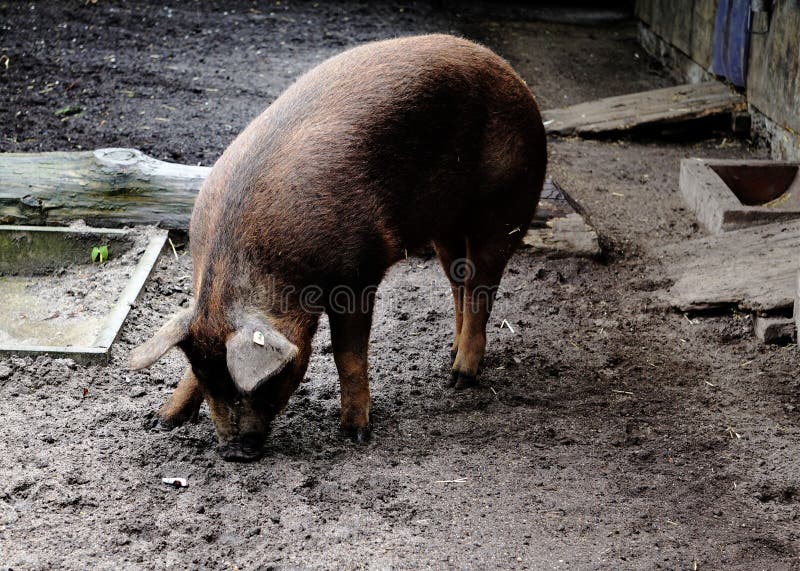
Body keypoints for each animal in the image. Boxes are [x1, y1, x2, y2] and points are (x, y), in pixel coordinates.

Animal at [129, 34, 547, 461]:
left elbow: (348, 355)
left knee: (482, 288)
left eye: (262, 384)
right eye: (207, 377)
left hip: (507, 205)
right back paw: (450, 356)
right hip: (445, 226)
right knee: (458, 281)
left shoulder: (359, 273)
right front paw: (158, 422)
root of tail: (513, 76)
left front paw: (356, 434)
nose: (233, 453)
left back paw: (459, 379)